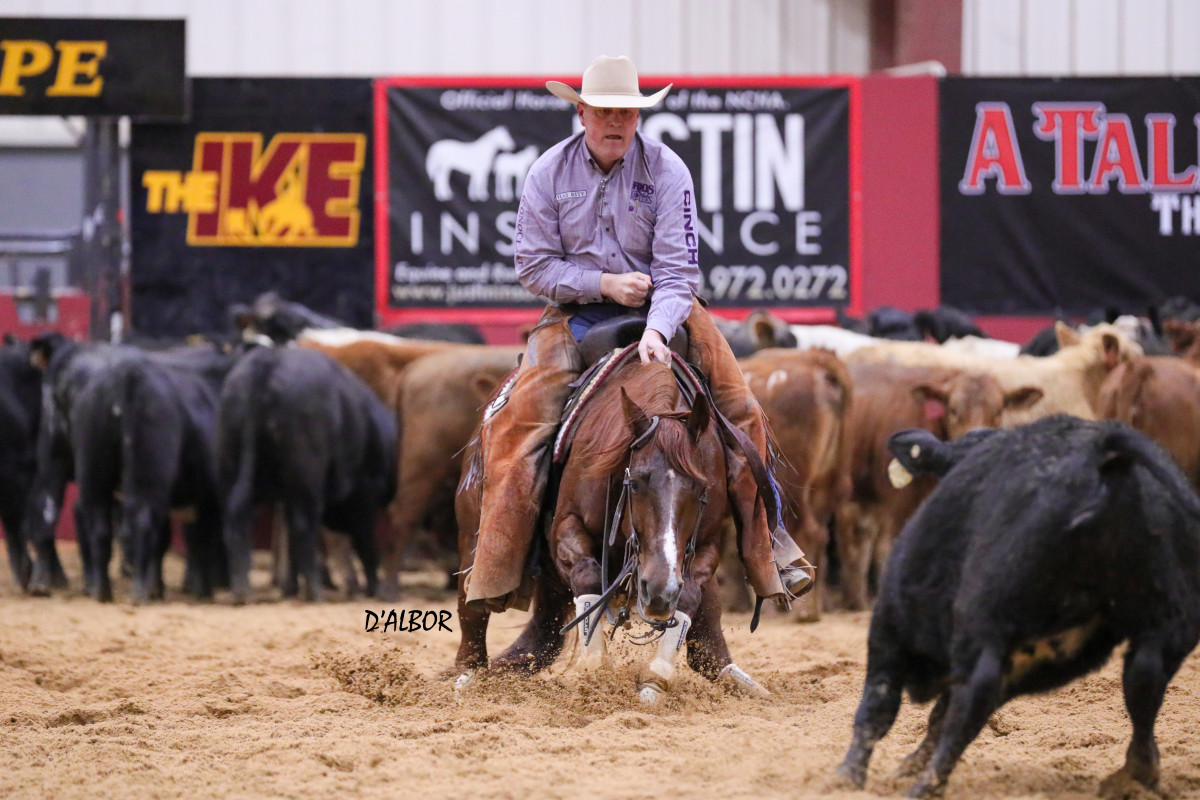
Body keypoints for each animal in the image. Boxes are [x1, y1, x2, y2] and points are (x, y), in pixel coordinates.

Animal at [453, 346, 771, 702]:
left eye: (701, 488)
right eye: (635, 483)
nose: (659, 590)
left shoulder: (705, 546)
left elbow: (689, 597)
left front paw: (654, 680)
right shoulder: (567, 529)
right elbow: (588, 577)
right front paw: (597, 669)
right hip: (475, 541)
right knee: (473, 612)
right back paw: (469, 677)